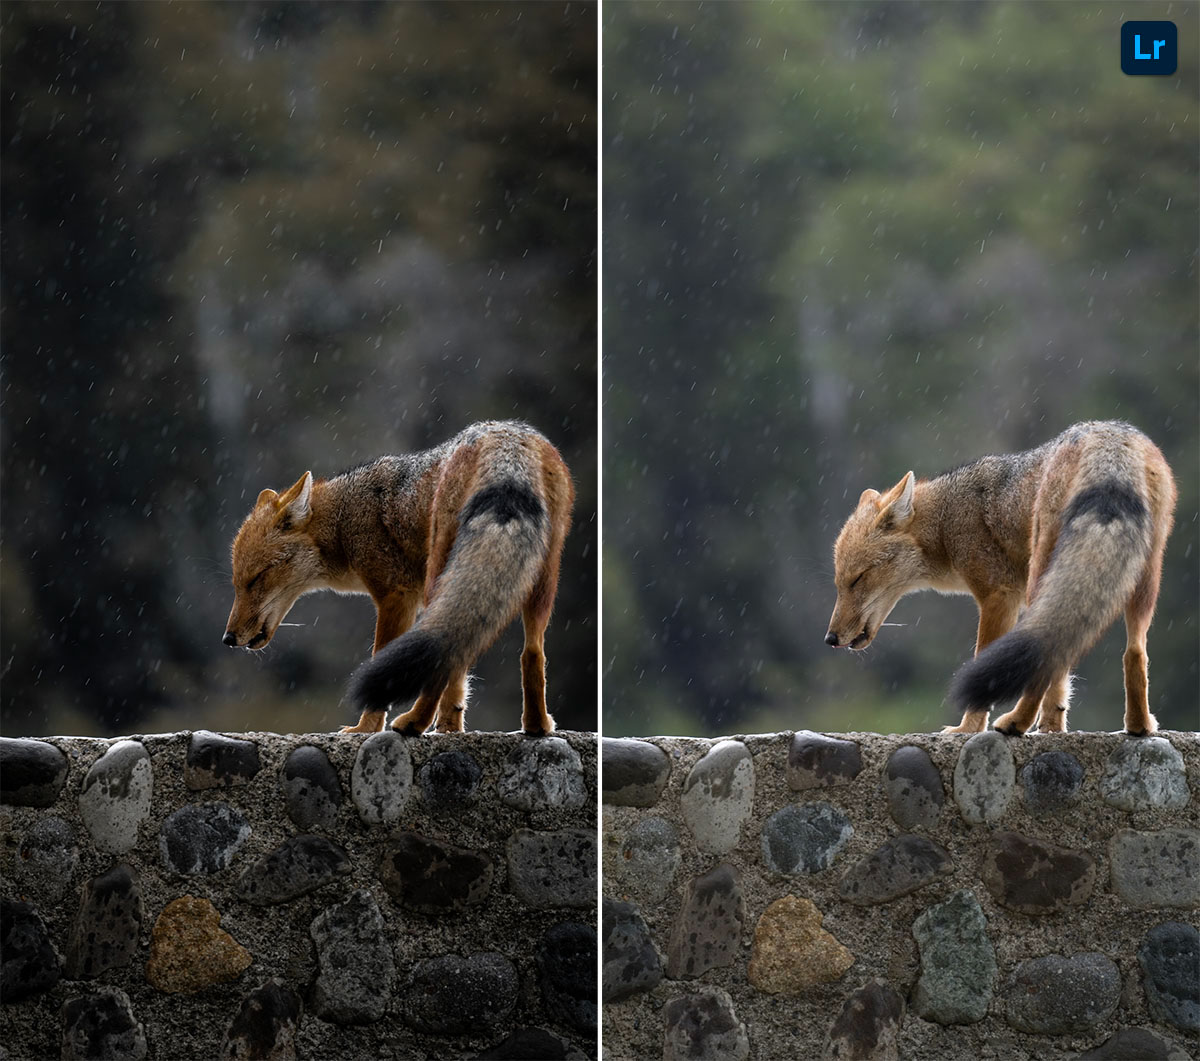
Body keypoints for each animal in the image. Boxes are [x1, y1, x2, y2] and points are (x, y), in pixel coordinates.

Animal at [223, 420, 573, 737]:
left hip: (440, 578)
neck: (343, 523)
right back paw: (537, 726)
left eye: (256, 579)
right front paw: (450, 727)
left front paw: (366, 728)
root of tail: (507, 437)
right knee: (528, 653)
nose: (228, 638)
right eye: (237, 584)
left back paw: (414, 723)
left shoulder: (396, 597)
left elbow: (383, 662)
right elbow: (458, 674)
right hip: (537, 582)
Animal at [825, 421, 1176, 736]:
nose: (830, 639)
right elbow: (1060, 676)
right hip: (1140, 580)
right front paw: (1052, 727)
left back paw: (1016, 723)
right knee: (1132, 653)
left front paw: (968, 729)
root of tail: (1109, 436)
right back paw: (1139, 726)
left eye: (857, 579)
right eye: (839, 583)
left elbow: (986, 664)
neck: (946, 523)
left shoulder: (999, 597)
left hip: (1042, 578)